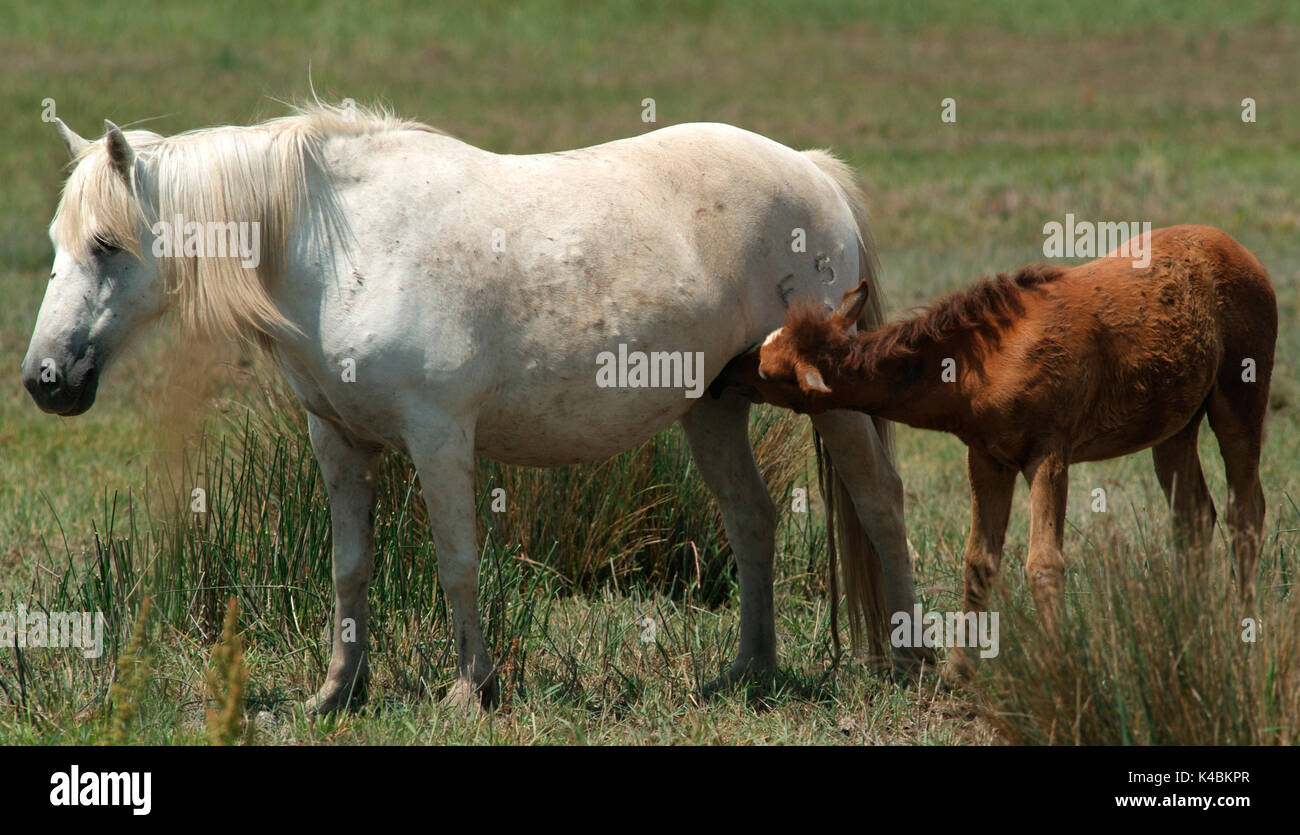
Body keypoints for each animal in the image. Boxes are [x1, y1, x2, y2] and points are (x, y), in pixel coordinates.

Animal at [22, 103, 926, 712]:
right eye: (59, 245)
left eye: (106, 245)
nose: (43, 380)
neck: (344, 248)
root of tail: (812, 170)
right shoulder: (337, 440)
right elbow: (349, 568)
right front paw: (337, 693)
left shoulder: (439, 437)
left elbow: (457, 562)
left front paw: (471, 689)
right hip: (711, 403)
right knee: (751, 519)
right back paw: (748, 671)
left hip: (831, 403)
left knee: (880, 505)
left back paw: (910, 660)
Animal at [739, 225, 1276, 636]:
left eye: (767, 371)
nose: (730, 372)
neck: (982, 365)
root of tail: (1243, 254)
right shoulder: (987, 457)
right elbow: (979, 561)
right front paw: (960, 671)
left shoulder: (1049, 453)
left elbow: (1044, 564)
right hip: (1174, 425)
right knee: (1194, 515)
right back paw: (1191, 622)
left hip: (1240, 399)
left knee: (1245, 509)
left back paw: (1245, 620)